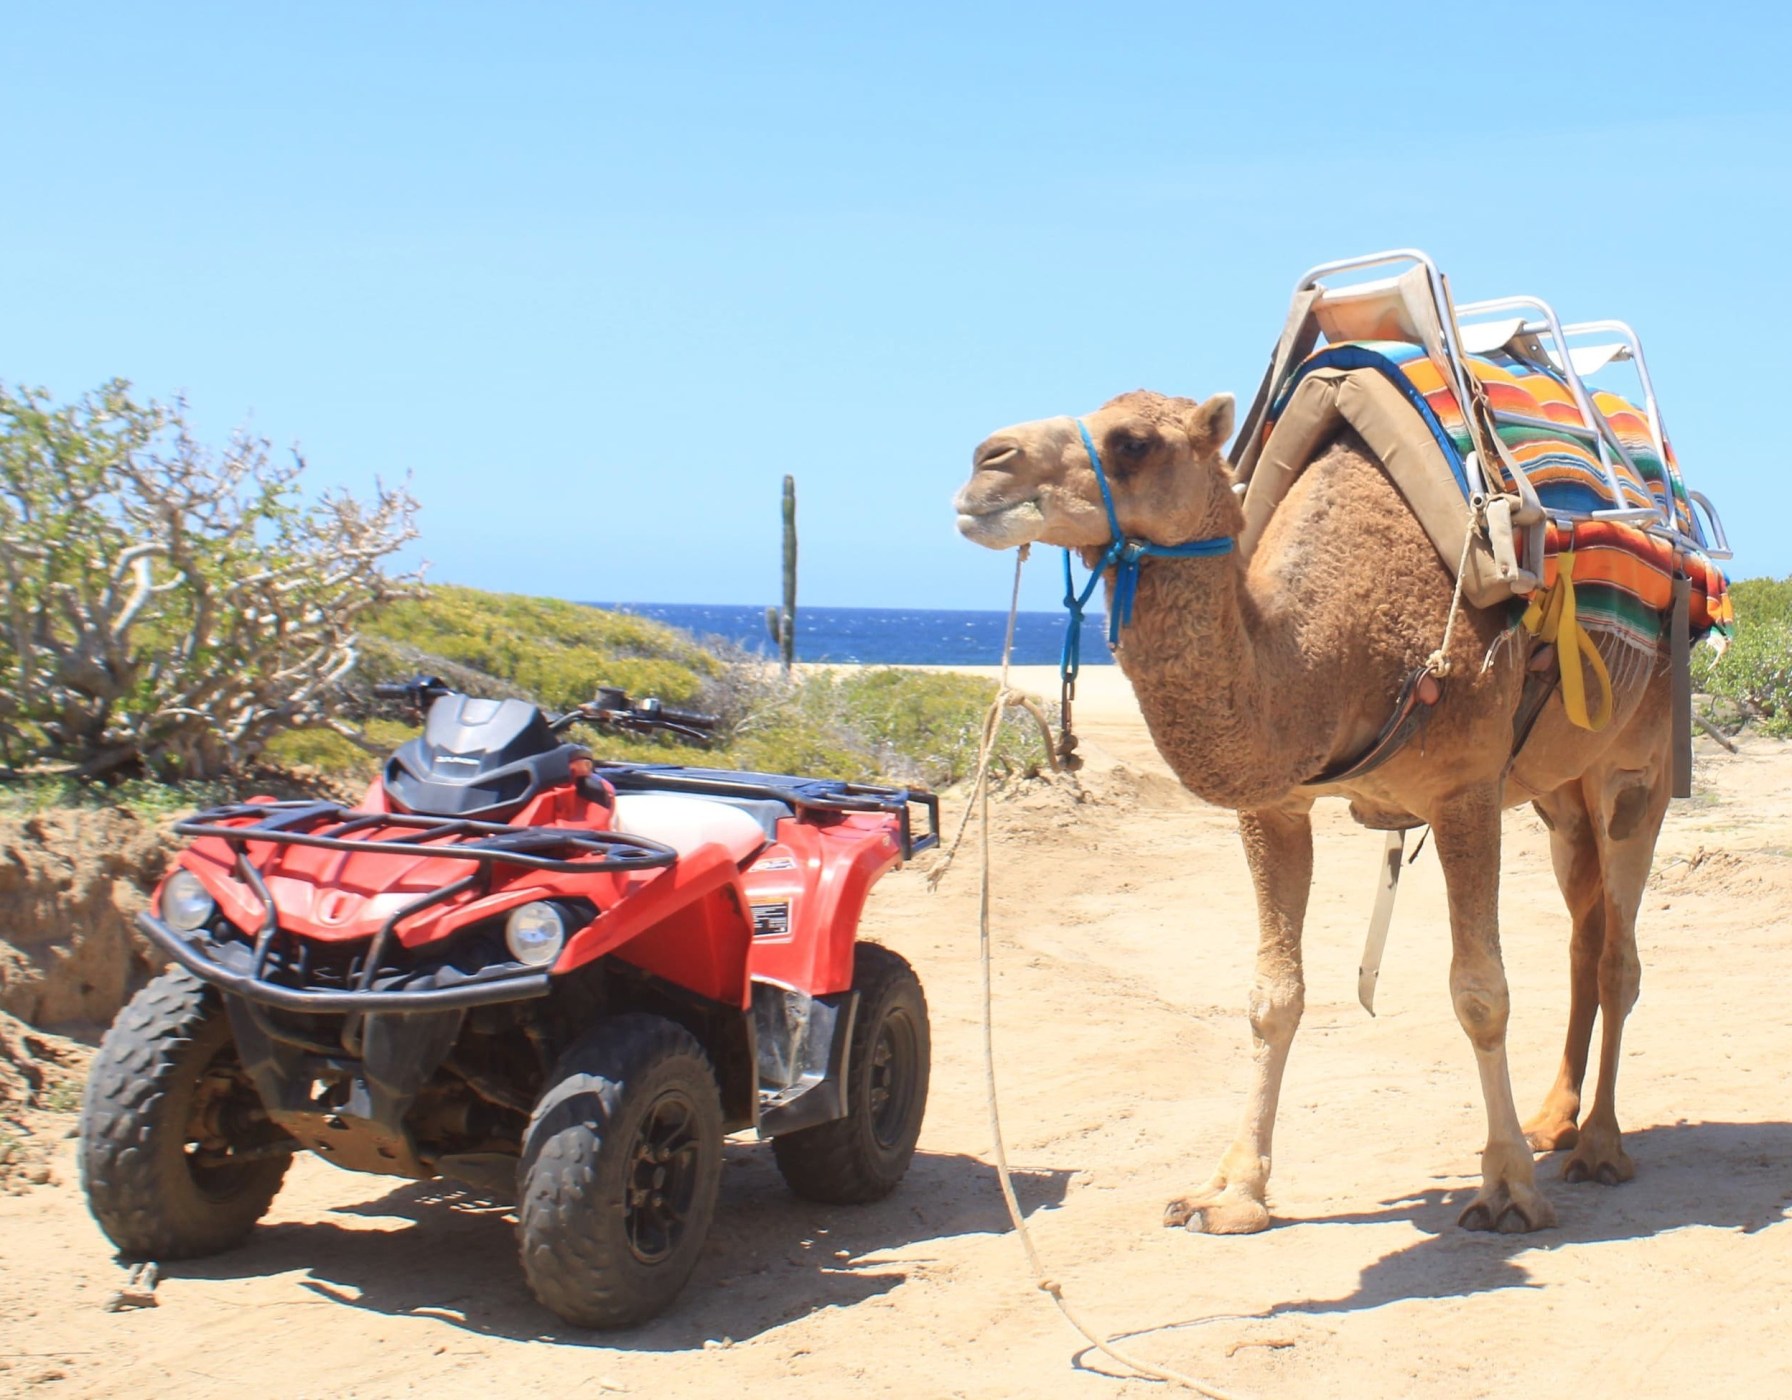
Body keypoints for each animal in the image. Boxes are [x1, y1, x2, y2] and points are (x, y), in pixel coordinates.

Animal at [953, 390, 1678, 1234]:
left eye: (1131, 442)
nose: (986, 464)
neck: (1333, 651)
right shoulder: (1275, 806)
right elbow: (1274, 995)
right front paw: (1230, 1192)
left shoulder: (1465, 790)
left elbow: (1480, 992)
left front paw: (1507, 1191)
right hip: (1559, 795)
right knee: (1584, 934)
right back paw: (1552, 1120)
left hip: (1635, 763)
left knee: (1618, 953)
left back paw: (1599, 1146)